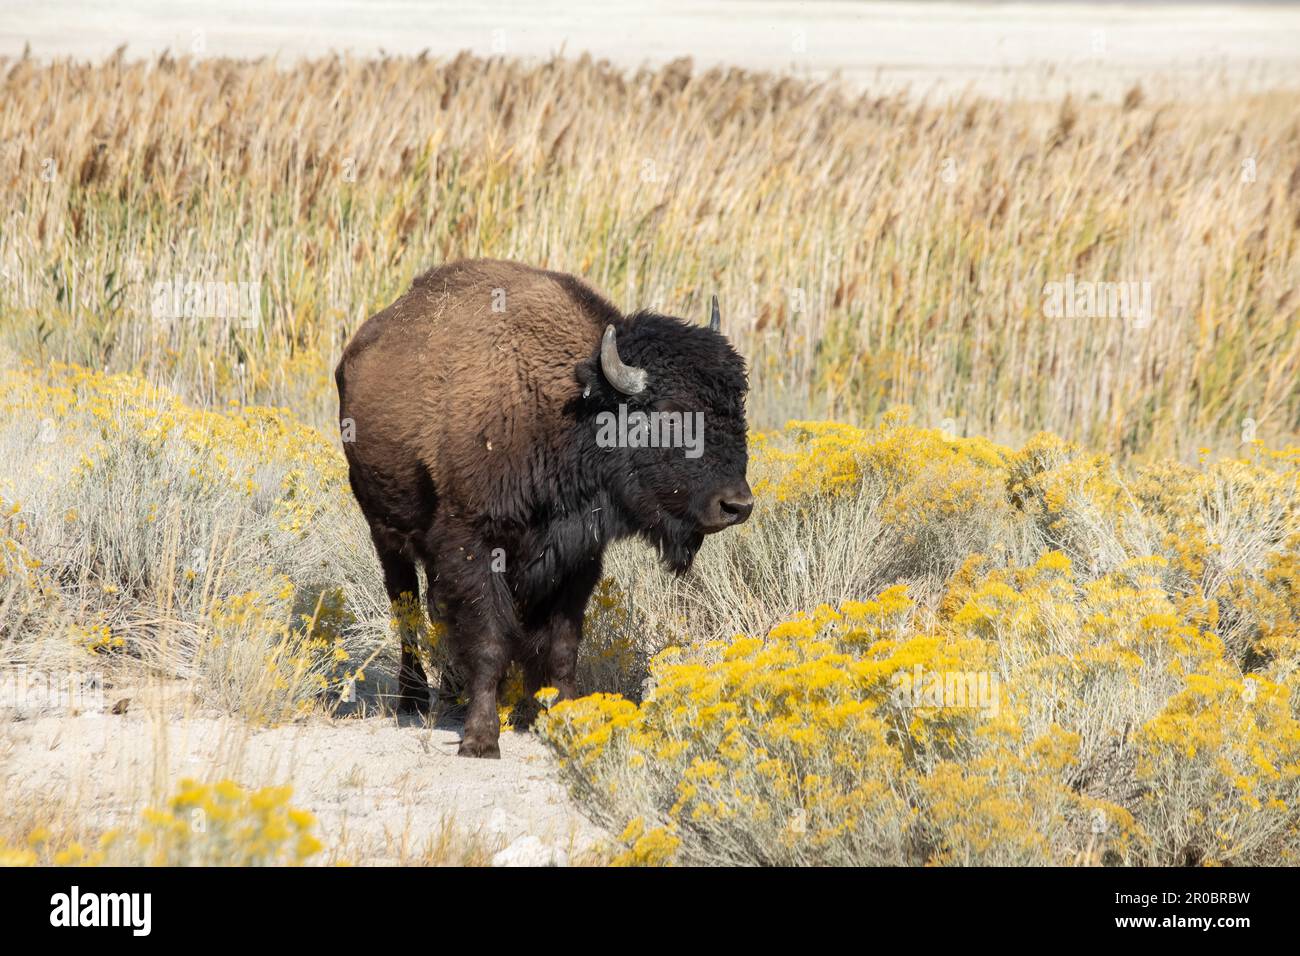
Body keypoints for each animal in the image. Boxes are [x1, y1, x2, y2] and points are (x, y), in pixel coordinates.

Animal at [336, 259, 752, 756]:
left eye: (739, 403)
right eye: (669, 412)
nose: (737, 504)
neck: (566, 408)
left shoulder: (576, 557)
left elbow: (561, 645)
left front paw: (562, 717)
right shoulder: (473, 545)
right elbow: (490, 641)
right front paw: (481, 739)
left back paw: (452, 693)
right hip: (386, 533)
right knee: (407, 607)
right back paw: (414, 698)